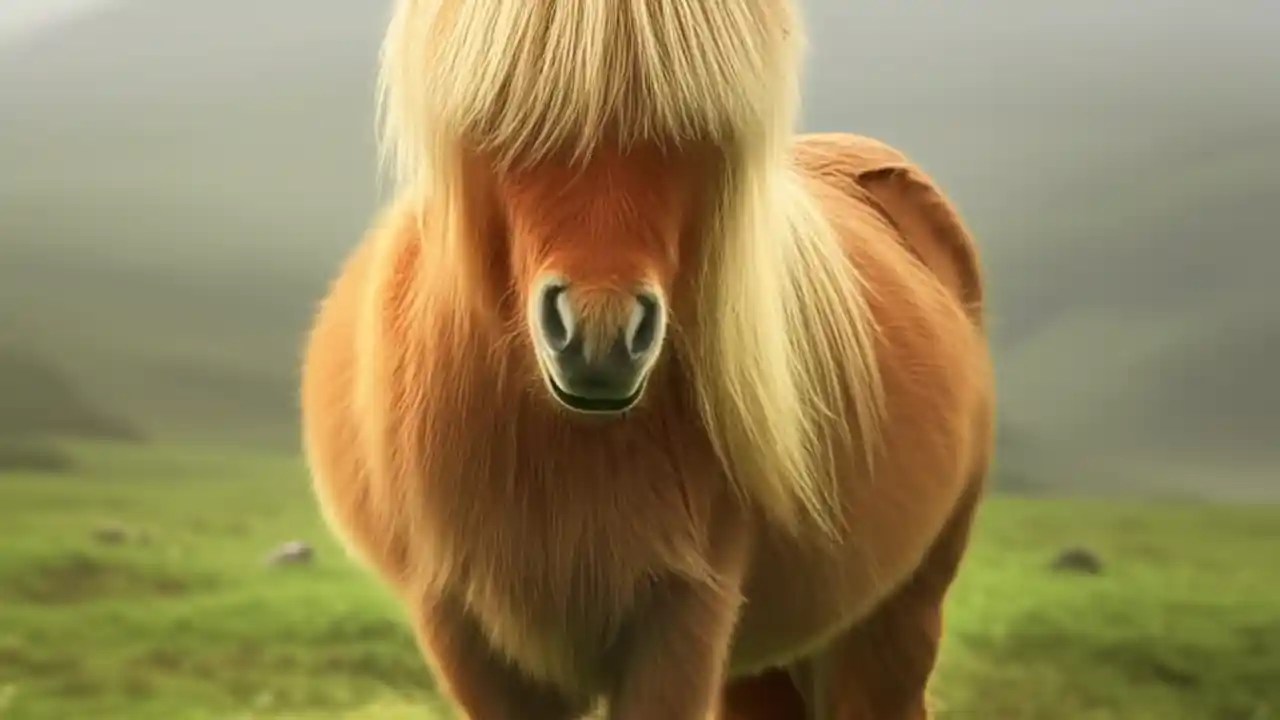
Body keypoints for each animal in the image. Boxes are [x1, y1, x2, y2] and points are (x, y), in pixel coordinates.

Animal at [300, 1, 995, 718]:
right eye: (498, 111)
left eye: (698, 123)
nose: (599, 338)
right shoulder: (465, 633)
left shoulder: (684, 619)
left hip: (896, 618)